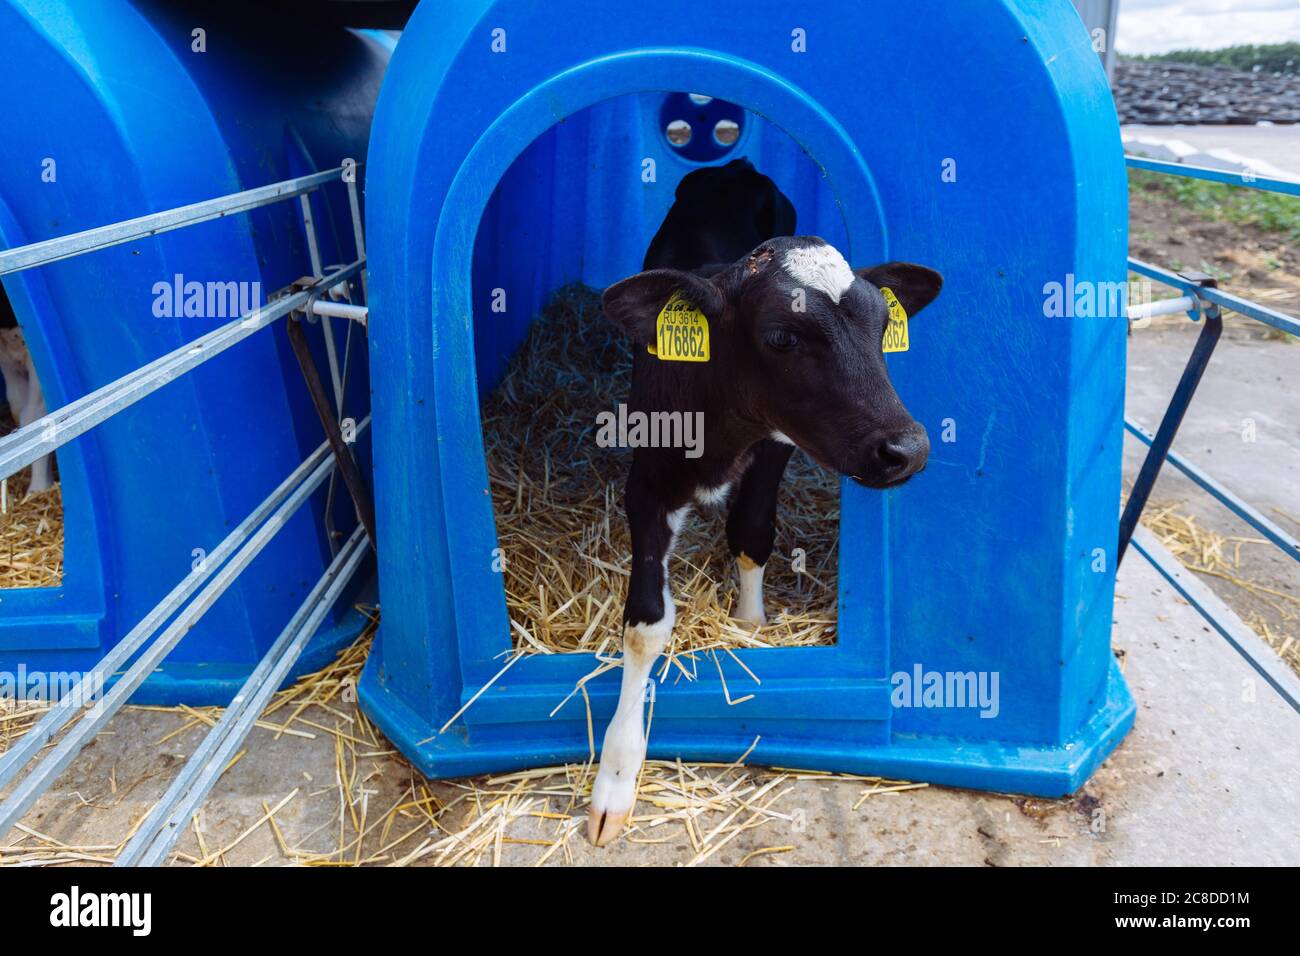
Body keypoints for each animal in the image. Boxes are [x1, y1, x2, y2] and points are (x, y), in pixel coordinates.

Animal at [588, 158, 943, 845]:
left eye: (885, 326)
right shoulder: (647, 481)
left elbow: (752, 532)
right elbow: (645, 625)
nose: (908, 449)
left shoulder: (777, 447)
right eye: (781, 337)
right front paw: (615, 781)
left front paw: (749, 621)